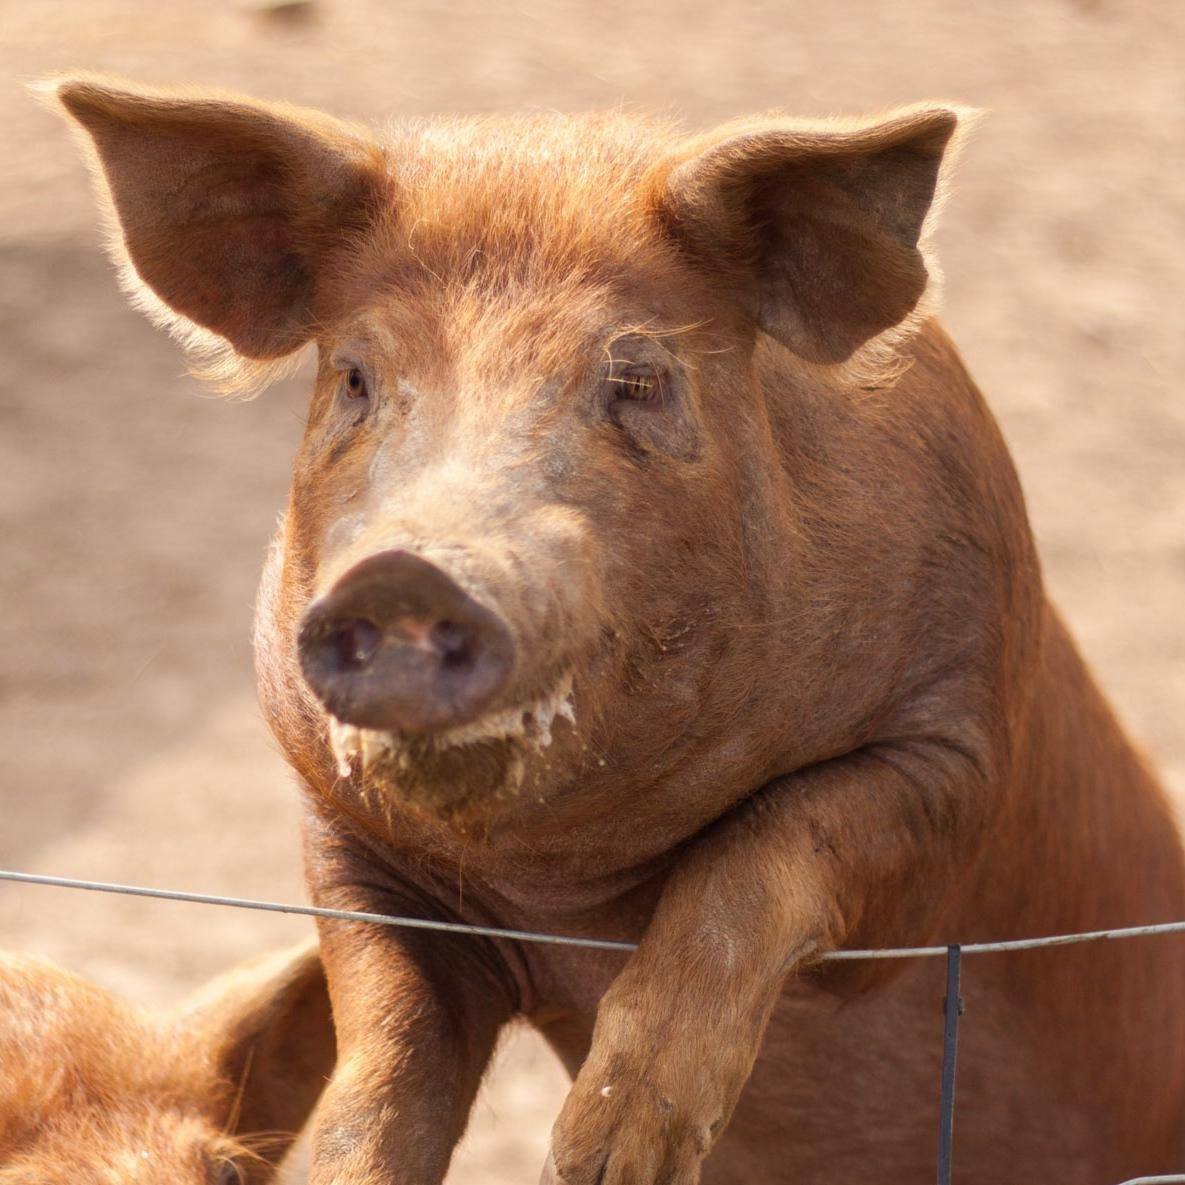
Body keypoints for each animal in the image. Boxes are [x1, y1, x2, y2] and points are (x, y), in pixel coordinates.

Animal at [51, 75, 1185, 1184]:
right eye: (356, 378)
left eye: (638, 381)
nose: (406, 572)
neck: (571, 897)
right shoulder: (341, 829)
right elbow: (385, 1046)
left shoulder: (956, 753)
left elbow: (762, 846)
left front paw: (606, 1156)